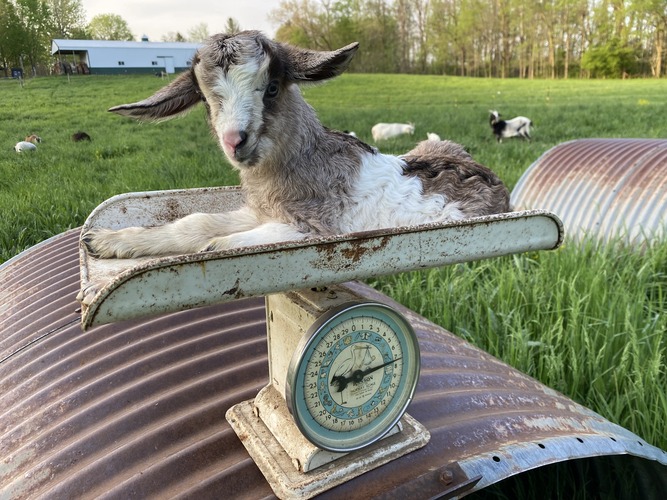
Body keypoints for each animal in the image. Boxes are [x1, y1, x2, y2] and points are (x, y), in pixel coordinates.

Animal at [82, 31, 509, 259]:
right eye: (204, 99)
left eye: (272, 88)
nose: (235, 141)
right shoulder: (260, 210)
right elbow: (196, 223)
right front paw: (107, 242)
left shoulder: (314, 228)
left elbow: (219, 241)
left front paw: (214, 247)